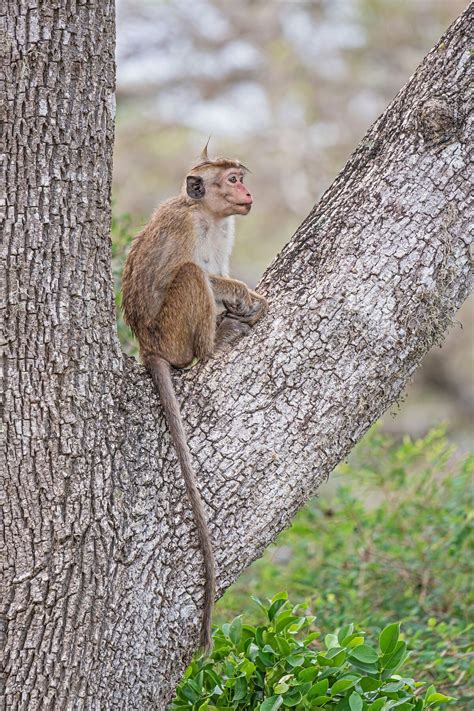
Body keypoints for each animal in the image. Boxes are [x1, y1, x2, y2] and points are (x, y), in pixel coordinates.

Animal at [120, 147, 268, 652]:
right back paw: (215, 342)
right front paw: (243, 294)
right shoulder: (184, 226)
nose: (248, 192)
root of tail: (148, 346)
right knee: (189, 276)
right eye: (234, 179)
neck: (206, 214)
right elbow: (187, 274)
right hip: (171, 332)